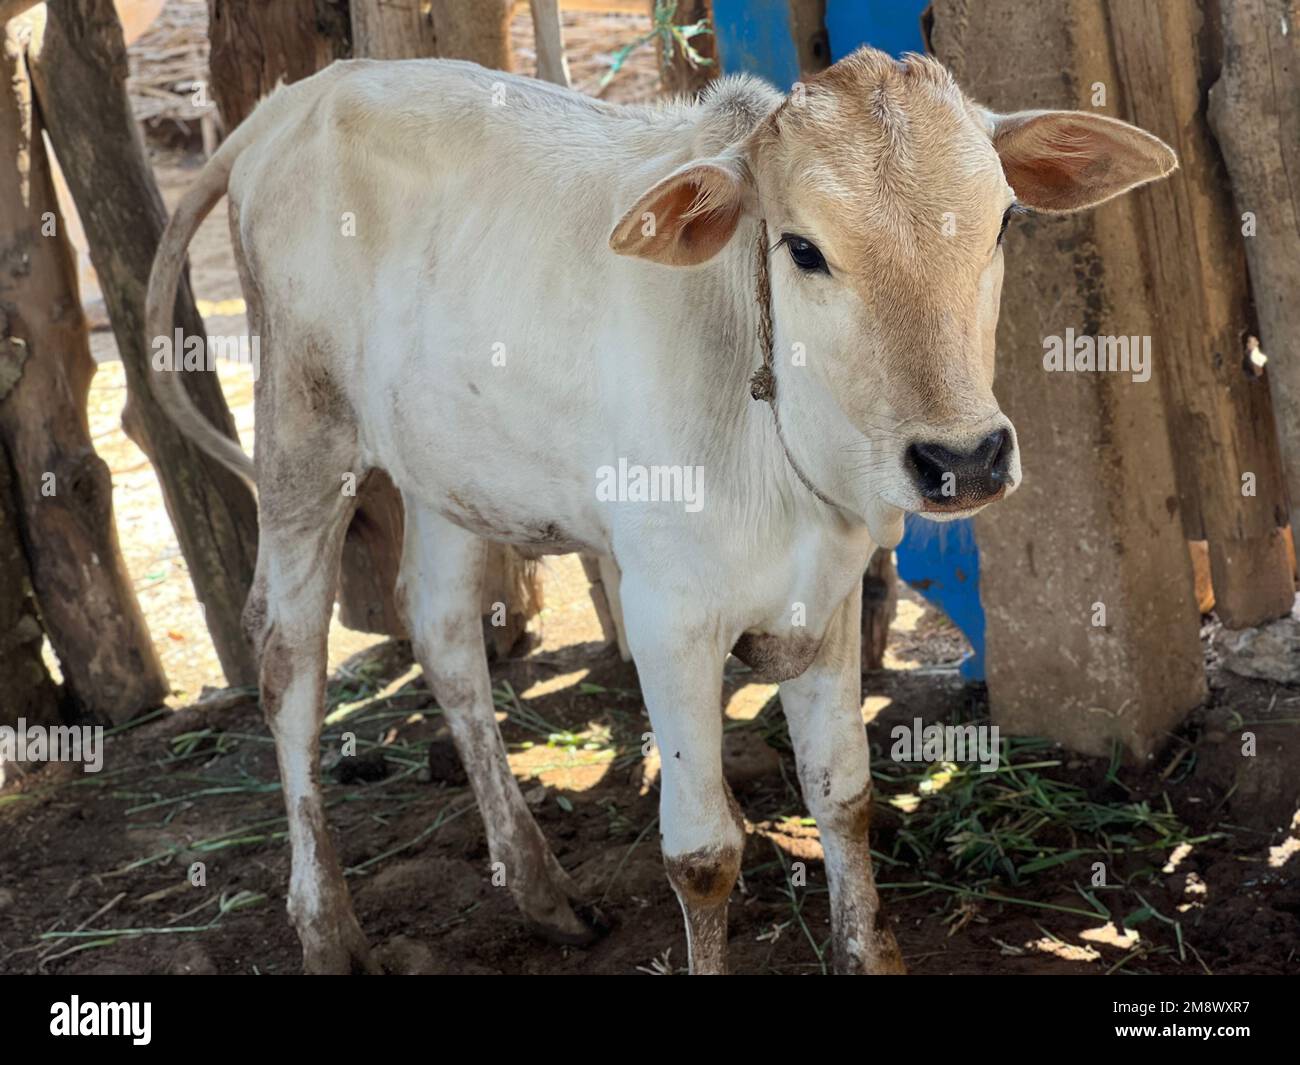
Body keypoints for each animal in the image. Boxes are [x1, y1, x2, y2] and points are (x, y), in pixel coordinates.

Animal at [146, 47, 1175, 974]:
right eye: (805, 249)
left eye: (1002, 221)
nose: (964, 459)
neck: (778, 437)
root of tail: (297, 97)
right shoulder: (666, 617)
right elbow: (703, 854)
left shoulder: (830, 598)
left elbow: (843, 795)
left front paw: (867, 949)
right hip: (301, 433)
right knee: (287, 657)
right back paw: (326, 926)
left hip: (448, 469)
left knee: (441, 631)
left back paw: (543, 889)